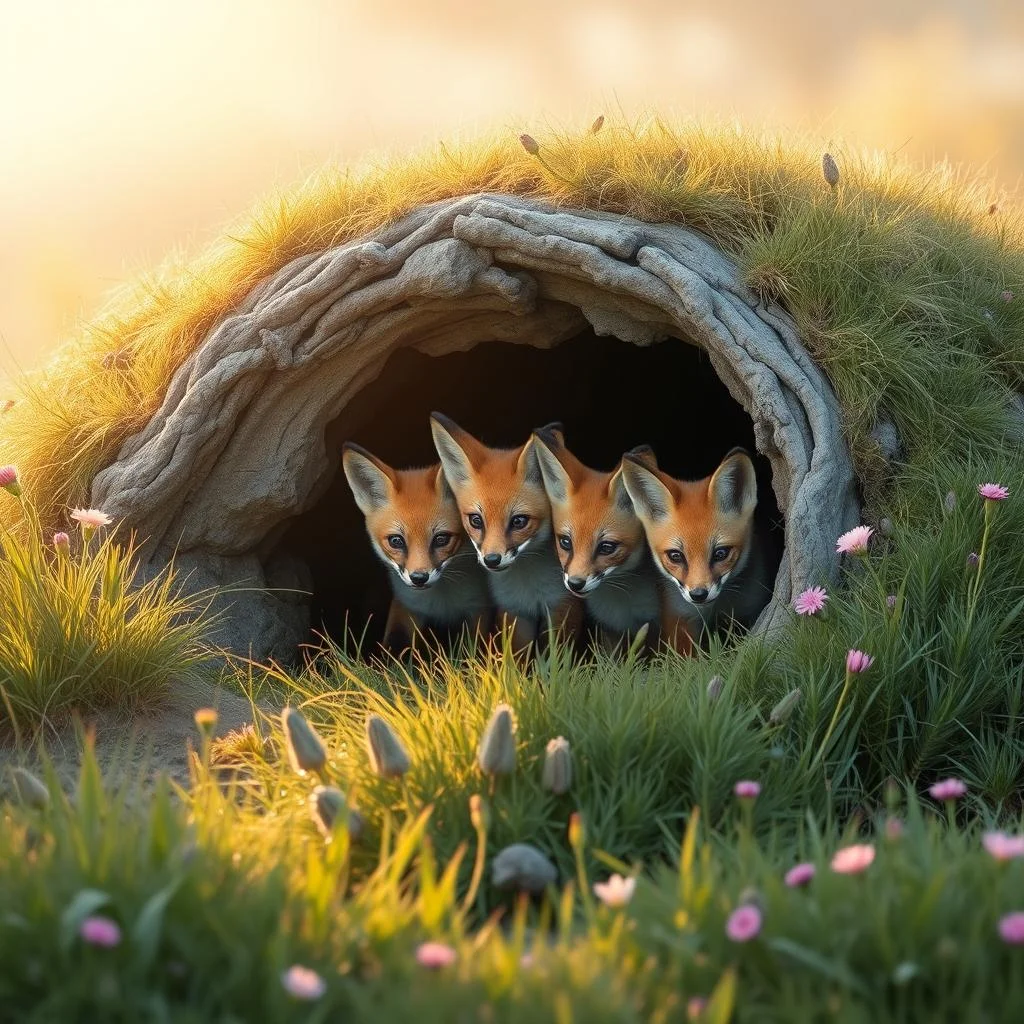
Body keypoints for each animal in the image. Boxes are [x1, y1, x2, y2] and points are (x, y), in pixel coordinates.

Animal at [341, 442, 491, 655]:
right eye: (396, 541)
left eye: (441, 539)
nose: (419, 578)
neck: (442, 602)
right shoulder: (405, 607)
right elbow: (395, 648)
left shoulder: (479, 609)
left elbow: (474, 652)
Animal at [428, 412, 583, 653]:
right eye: (476, 520)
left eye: (518, 521)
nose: (492, 560)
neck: (529, 587)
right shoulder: (514, 612)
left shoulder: (564, 608)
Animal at [619, 447, 772, 656]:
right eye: (675, 556)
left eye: (720, 553)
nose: (699, 595)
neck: (716, 607)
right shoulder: (681, 618)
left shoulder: (749, 610)